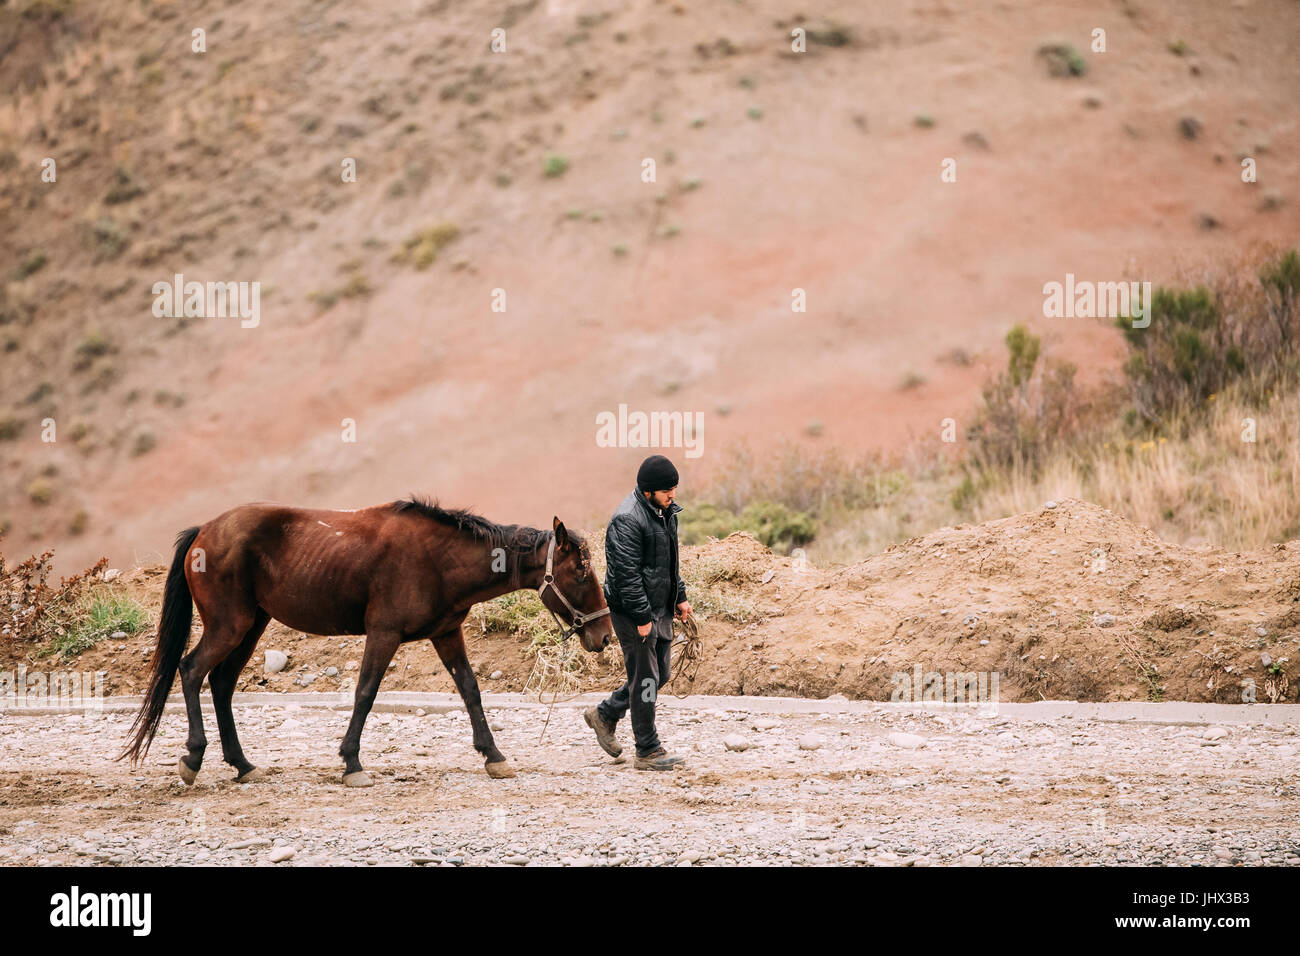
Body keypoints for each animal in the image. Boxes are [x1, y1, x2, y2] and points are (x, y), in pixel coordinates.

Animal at [119, 498, 613, 787]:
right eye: (581, 570)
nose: (604, 634)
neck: (437, 557)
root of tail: (205, 531)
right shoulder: (384, 634)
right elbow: (365, 693)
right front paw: (351, 761)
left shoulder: (447, 634)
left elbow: (470, 691)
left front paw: (493, 755)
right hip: (230, 626)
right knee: (191, 671)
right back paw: (194, 757)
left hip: (250, 626)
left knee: (220, 684)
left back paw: (242, 764)